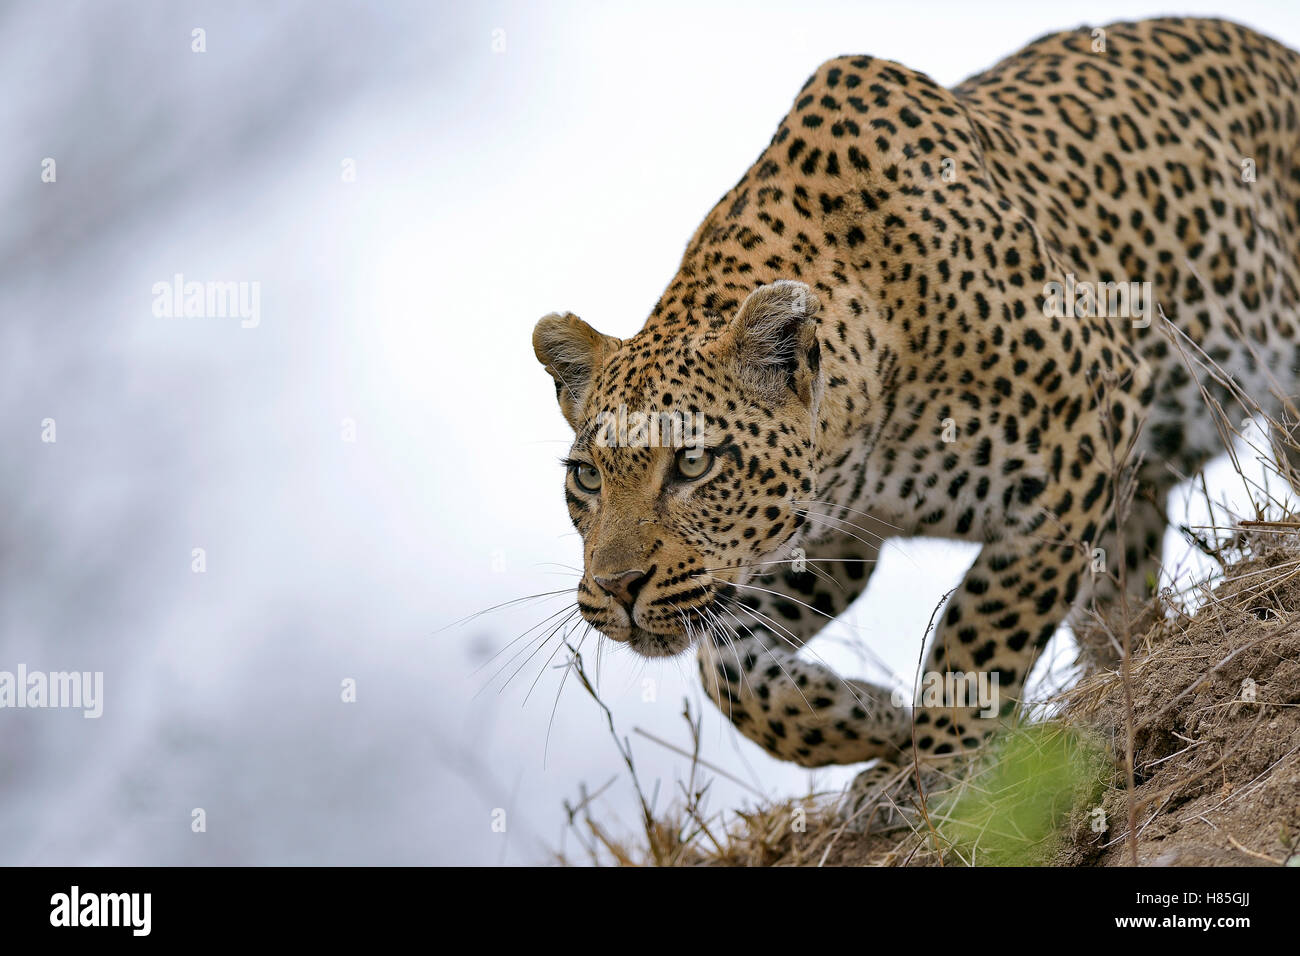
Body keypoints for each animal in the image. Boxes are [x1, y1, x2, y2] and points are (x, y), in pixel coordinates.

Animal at [530, 16, 1300, 824]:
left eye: (692, 462)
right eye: (586, 477)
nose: (617, 588)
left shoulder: (1091, 426)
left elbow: (981, 623)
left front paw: (935, 769)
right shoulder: (833, 537)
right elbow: (730, 670)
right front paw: (870, 716)